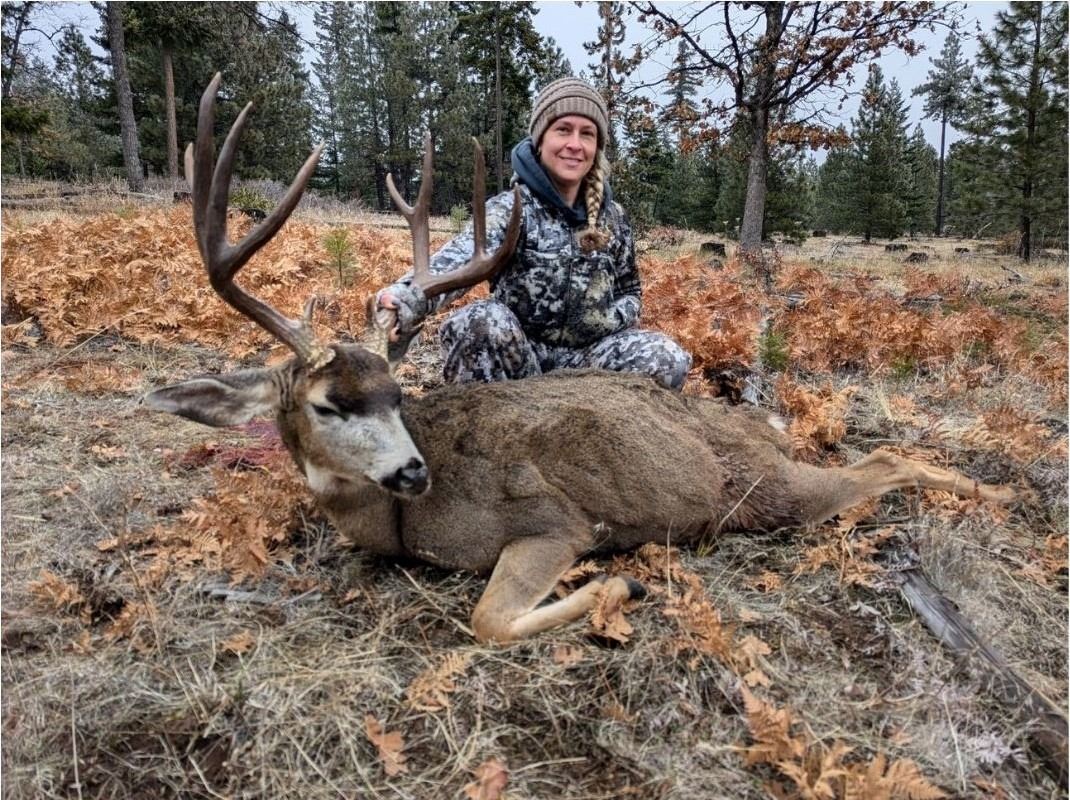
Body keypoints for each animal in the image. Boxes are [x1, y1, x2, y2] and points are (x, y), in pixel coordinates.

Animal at [144, 76, 1017, 644]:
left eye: (396, 394)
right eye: (330, 404)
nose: (413, 470)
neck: (399, 521)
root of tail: (758, 427)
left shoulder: (548, 521)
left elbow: (490, 619)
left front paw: (617, 581)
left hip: (764, 492)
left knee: (886, 463)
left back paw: (995, 494)